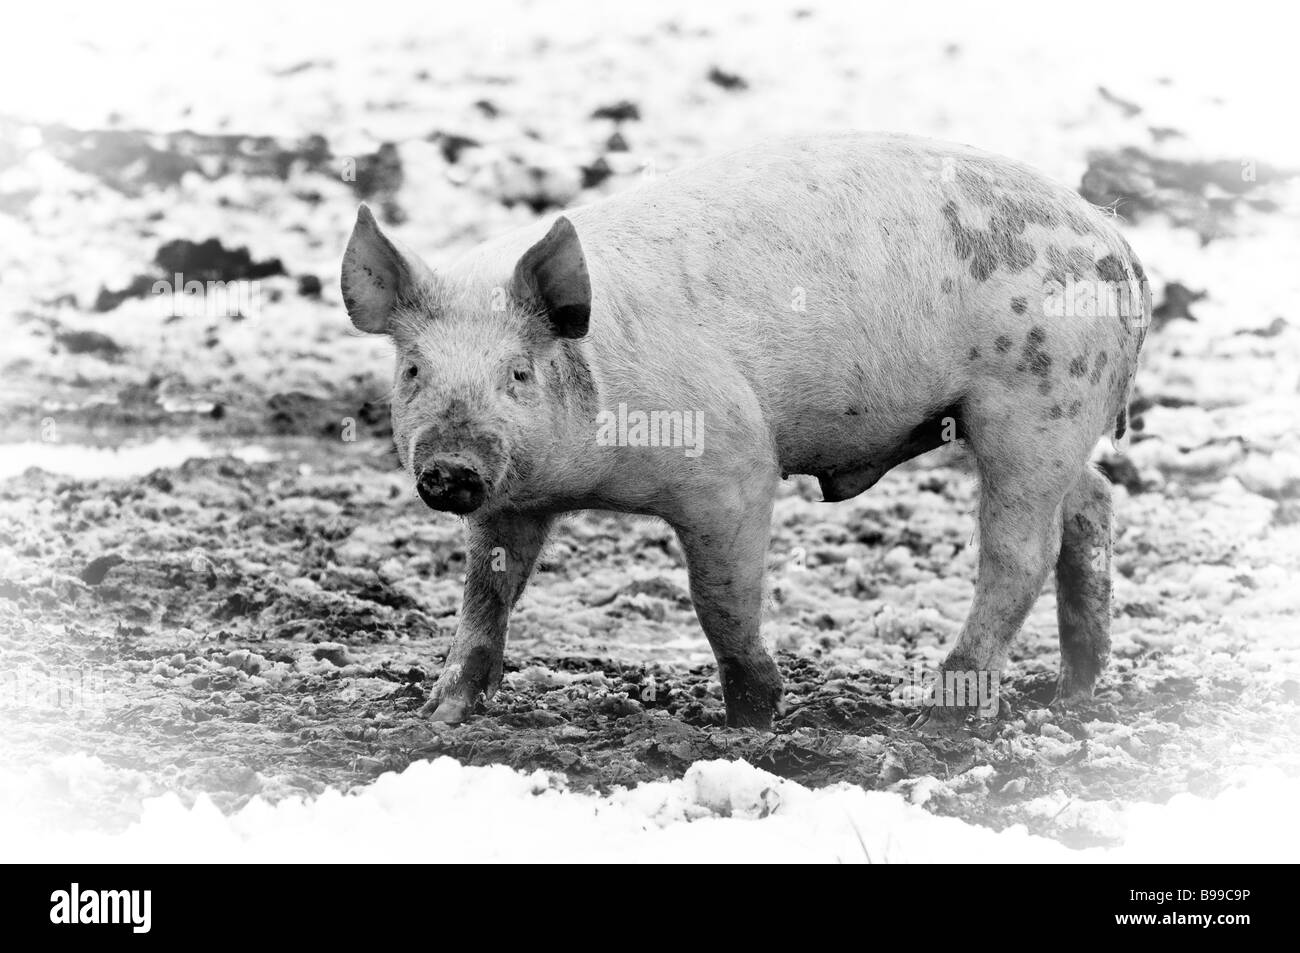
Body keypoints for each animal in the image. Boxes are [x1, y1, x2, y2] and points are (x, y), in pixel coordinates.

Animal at [340, 131, 1147, 729]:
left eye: (517, 372)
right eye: (412, 369)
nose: (450, 468)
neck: (587, 480)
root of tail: (1119, 244)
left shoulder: (732, 465)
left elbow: (719, 598)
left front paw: (752, 718)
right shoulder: (512, 499)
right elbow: (485, 593)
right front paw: (438, 716)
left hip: (1035, 403)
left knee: (1020, 551)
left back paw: (940, 716)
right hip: (1059, 420)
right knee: (1091, 502)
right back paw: (1073, 692)